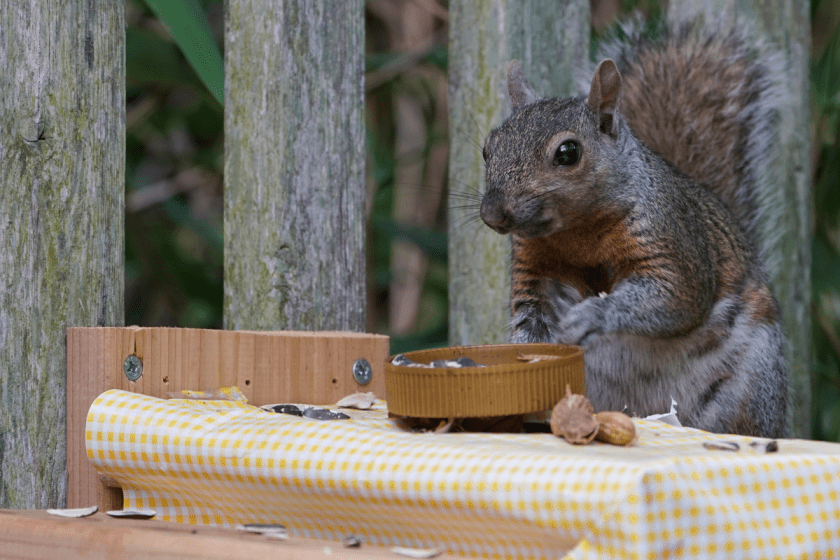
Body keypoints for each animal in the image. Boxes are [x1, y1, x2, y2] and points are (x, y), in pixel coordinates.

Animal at [479, 20, 788, 438]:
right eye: (488, 149)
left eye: (568, 153)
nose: (492, 213)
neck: (576, 231)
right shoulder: (535, 268)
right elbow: (533, 318)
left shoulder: (673, 242)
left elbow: (672, 297)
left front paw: (592, 316)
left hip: (751, 386)